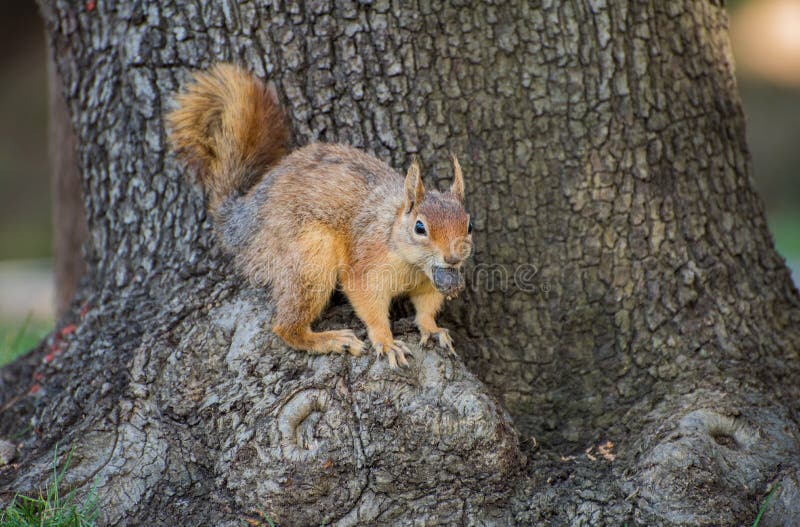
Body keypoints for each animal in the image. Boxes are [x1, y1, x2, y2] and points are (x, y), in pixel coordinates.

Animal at [166, 63, 472, 368]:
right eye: (420, 227)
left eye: (468, 226)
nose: (453, 258)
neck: (412, 263)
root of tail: (242, 219)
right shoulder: (366, 264)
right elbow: (367, 302)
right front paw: (386, 341)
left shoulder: (428, 283)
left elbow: (426, 307)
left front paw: (432, 329)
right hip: (310, 256)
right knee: (286, 327)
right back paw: (329, 339)